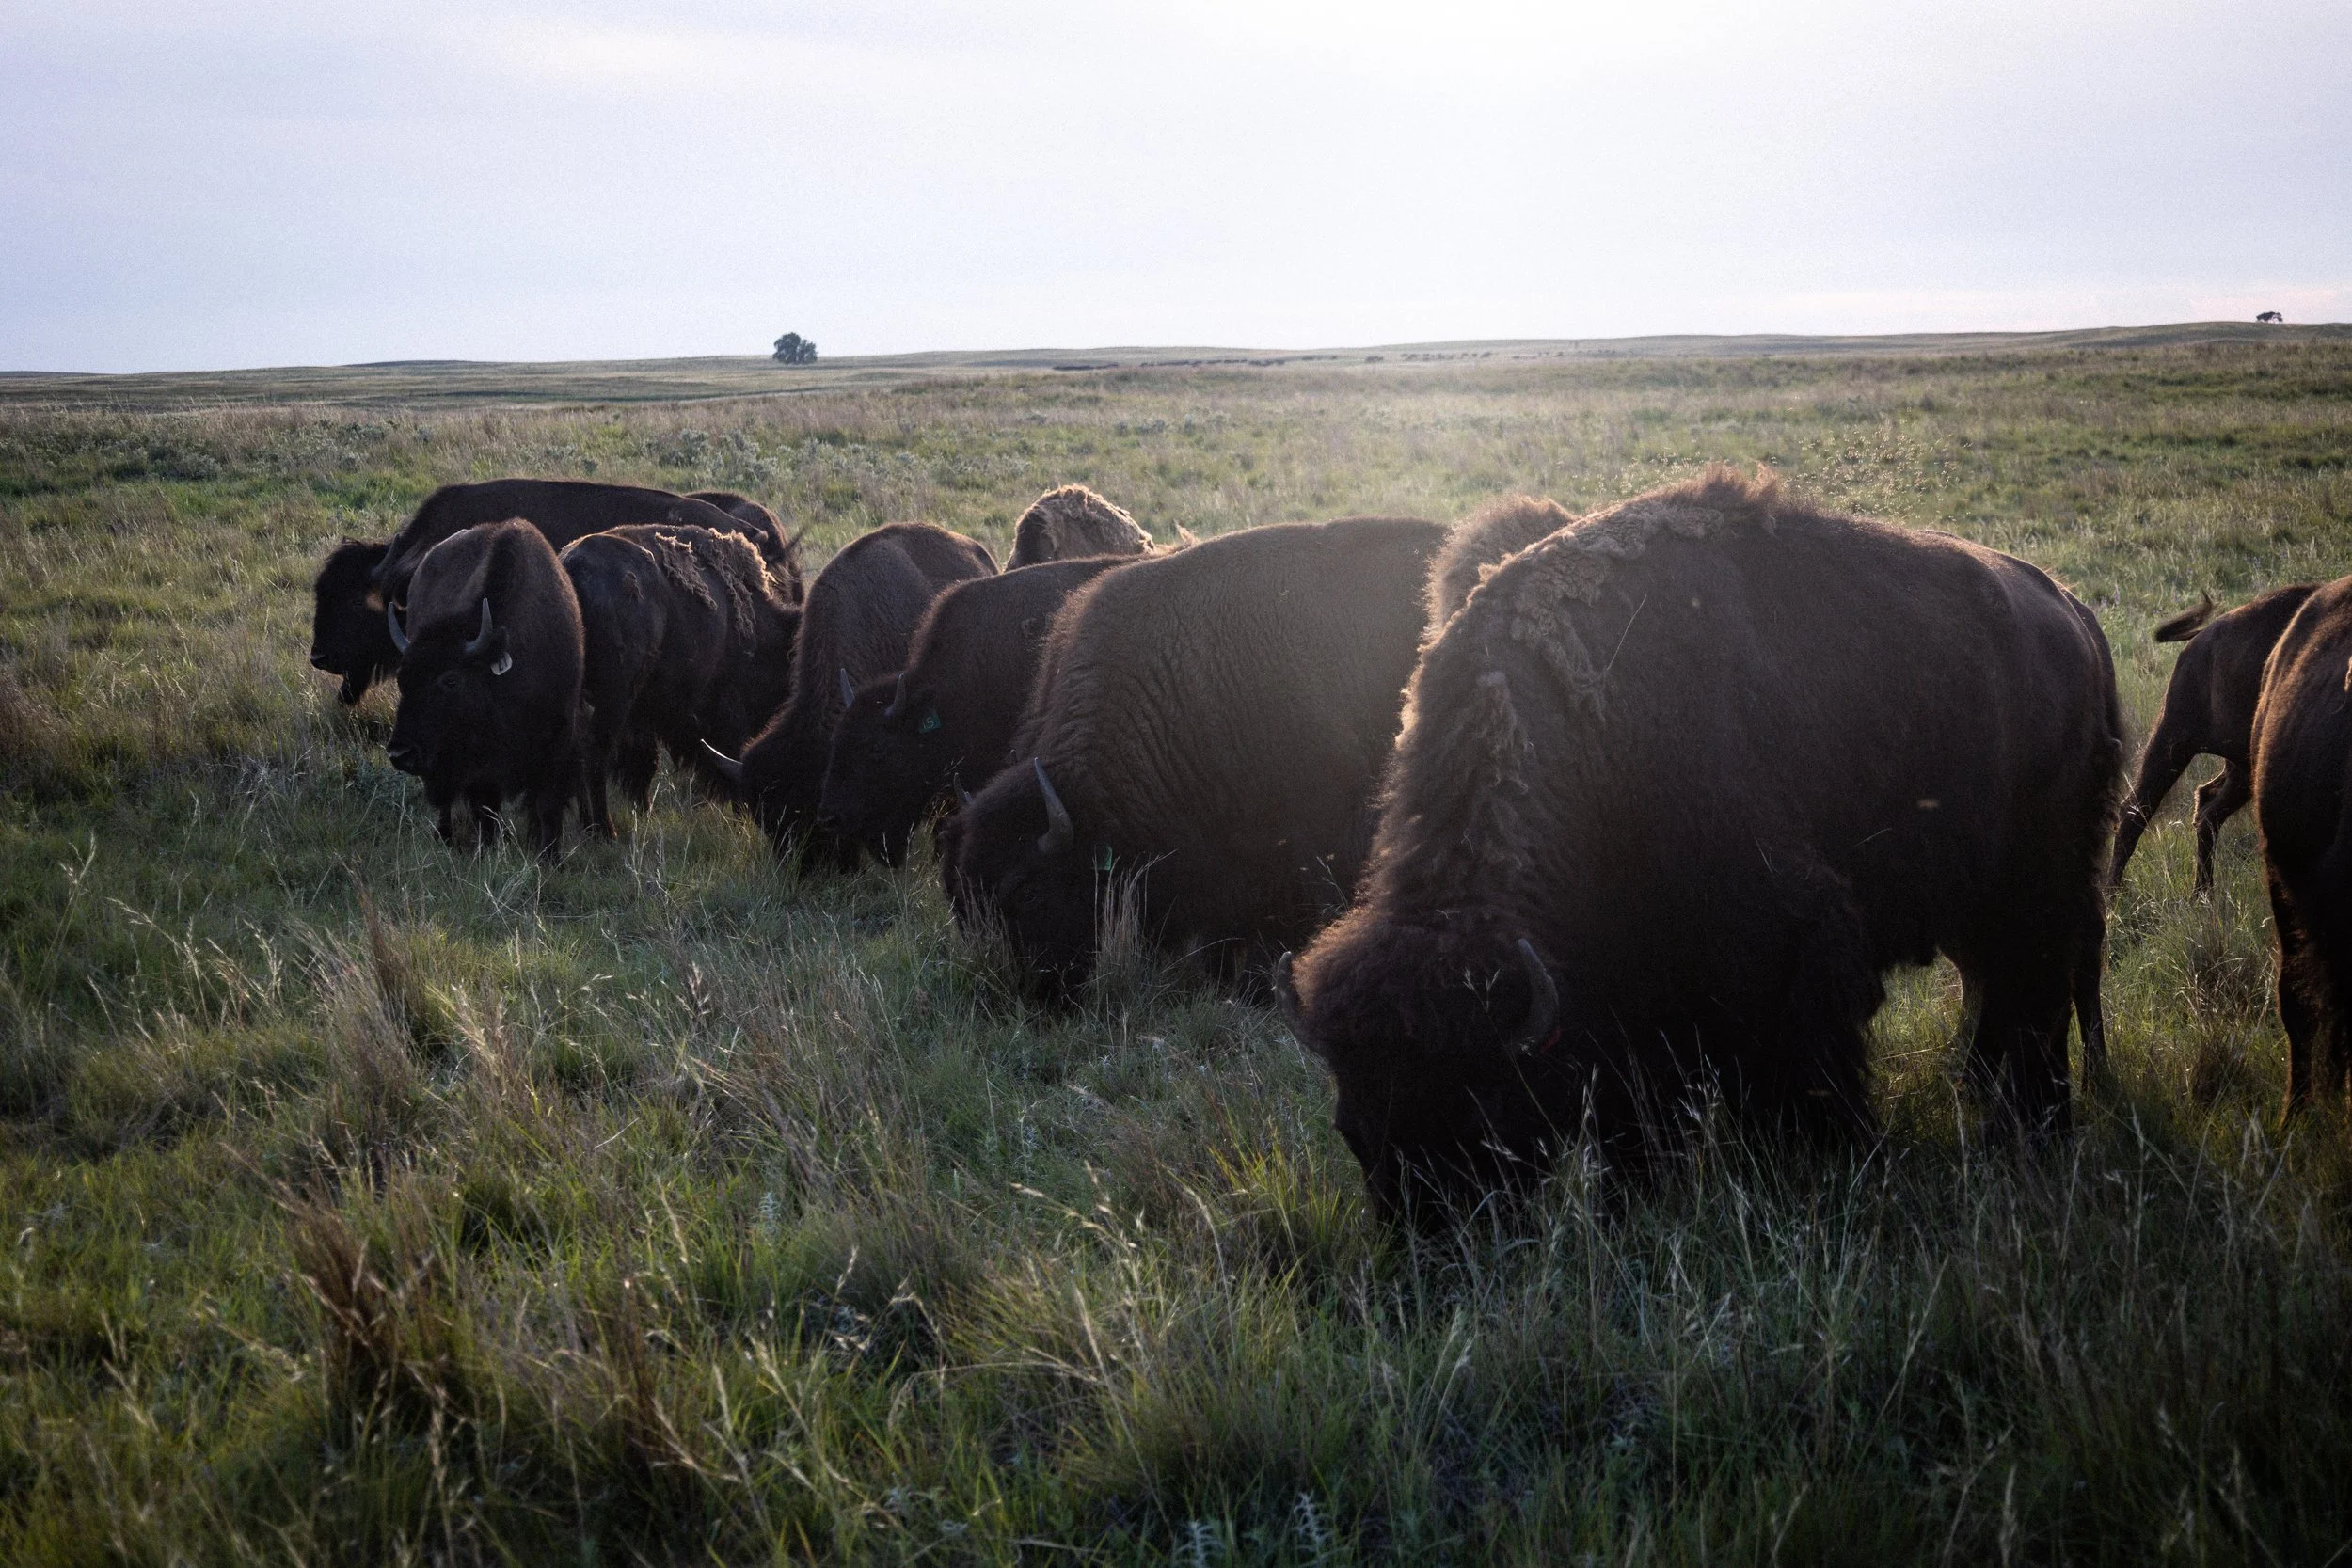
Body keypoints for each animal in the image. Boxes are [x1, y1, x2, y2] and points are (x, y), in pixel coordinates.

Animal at [384, 520, 584, 858]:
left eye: (451, 680)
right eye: (402, 679)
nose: (400, 753)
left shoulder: (559, 740)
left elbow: (547, 805)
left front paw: (550, 857)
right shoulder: (477, 766)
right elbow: (486, 809)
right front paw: (489, 850)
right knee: (444, 799)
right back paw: (444, 836)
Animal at [561, 524, 802, 837]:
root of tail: (573, 568)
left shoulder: (646, 714)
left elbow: (645, 764)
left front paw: (645, 813)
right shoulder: (726, 704)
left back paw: (589, 826)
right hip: (614, 698)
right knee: (594, 754)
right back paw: (605, 830)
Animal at [1281, 469, 2121, 1221]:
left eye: (1478, 1115)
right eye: (1354, 1129)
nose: (1434, 1254)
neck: (1594, 744)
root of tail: (2074, 615)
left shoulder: (1788, 944)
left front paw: (1828, 1159)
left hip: (2041, 883)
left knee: (2041, 990)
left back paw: (2035, 1127)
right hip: (1982, 902)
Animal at [2109, 586, 2317, 897]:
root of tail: (2200, 637)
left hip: (2241, 767)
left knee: (2207, 808)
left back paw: (2203, 894)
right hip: (2174, 738)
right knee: (2134, 810)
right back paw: (2111, 894)